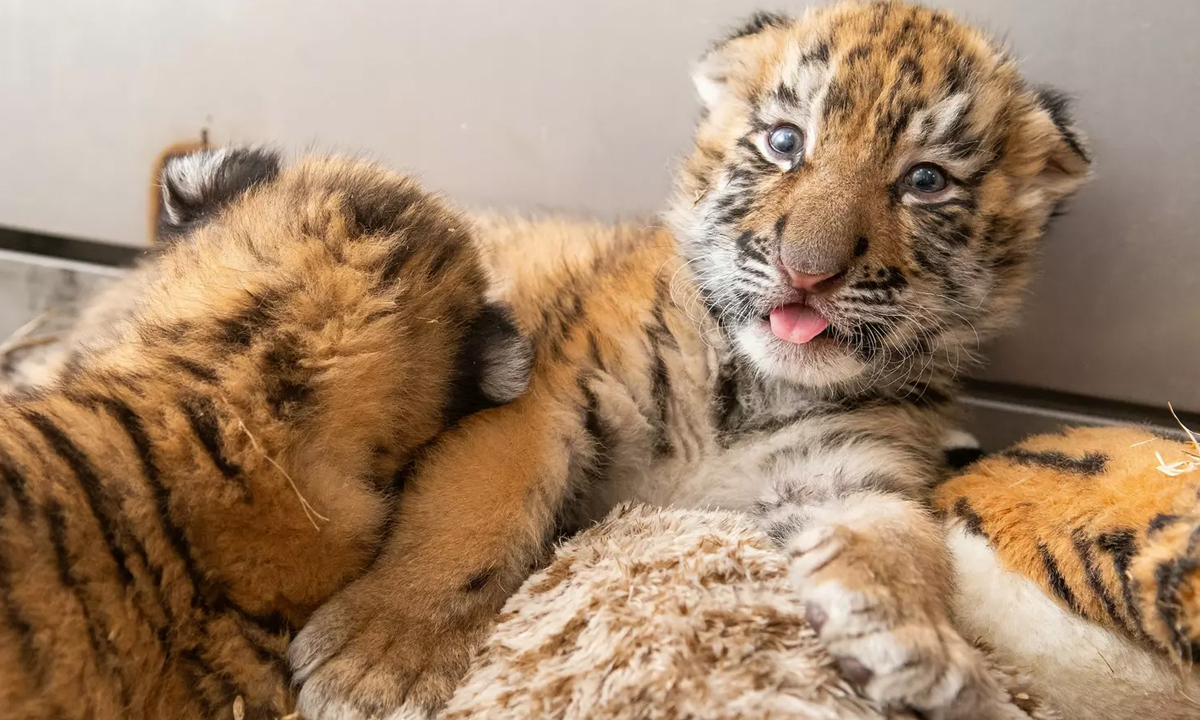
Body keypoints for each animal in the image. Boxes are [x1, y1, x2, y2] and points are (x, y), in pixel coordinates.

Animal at [288, 2, 1092, 718]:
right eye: (784, 141)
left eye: (925, 181)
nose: (807, 270)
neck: (758, 393)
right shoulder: (544, 394)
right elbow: (470, 511)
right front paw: (379, 658)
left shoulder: (848, 466)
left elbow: (906, 535)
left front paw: (923, 647)